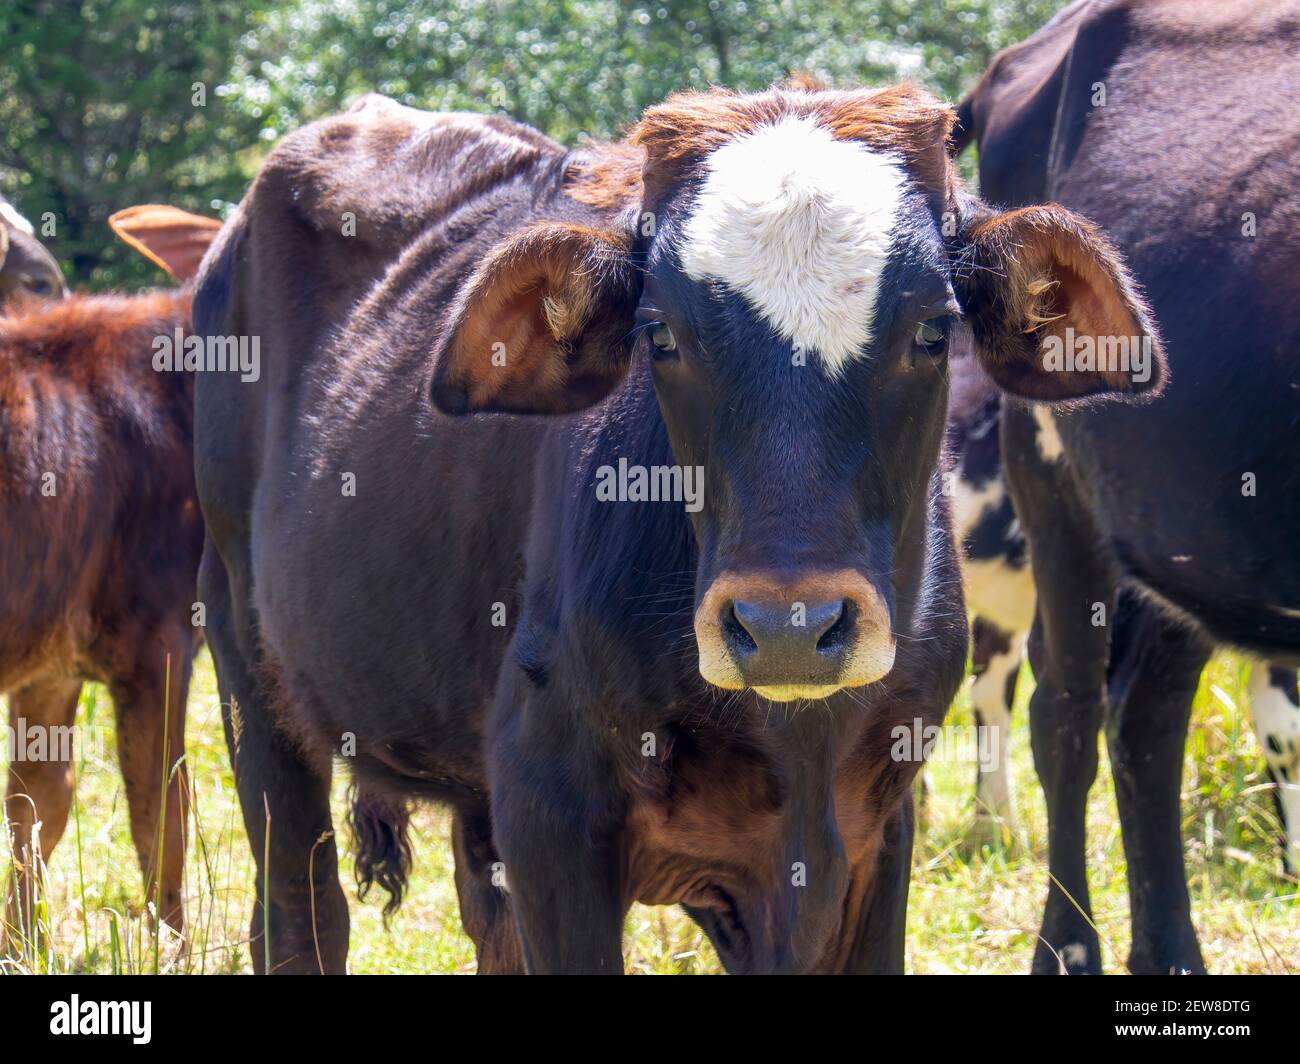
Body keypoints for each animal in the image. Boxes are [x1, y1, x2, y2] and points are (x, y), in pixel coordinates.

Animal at [1, 207, 217, 950]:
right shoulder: (157, 642)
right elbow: (163, 813)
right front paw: (175, 948)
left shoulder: (49, 665)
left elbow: (38, 805)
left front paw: (20, 948)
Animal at [191, 80, 1162, 974]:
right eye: (659, 333)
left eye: (934, 329)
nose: (787, 629)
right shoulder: (550, 820)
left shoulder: (876, 833)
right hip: (252, 681)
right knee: (300, 915)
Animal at [955, 0, 1300, 973]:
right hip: (1051, 472)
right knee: (1065, 712)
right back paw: (1066, 946)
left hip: (1185, 524)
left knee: (1144, 714)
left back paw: (1169, 955)